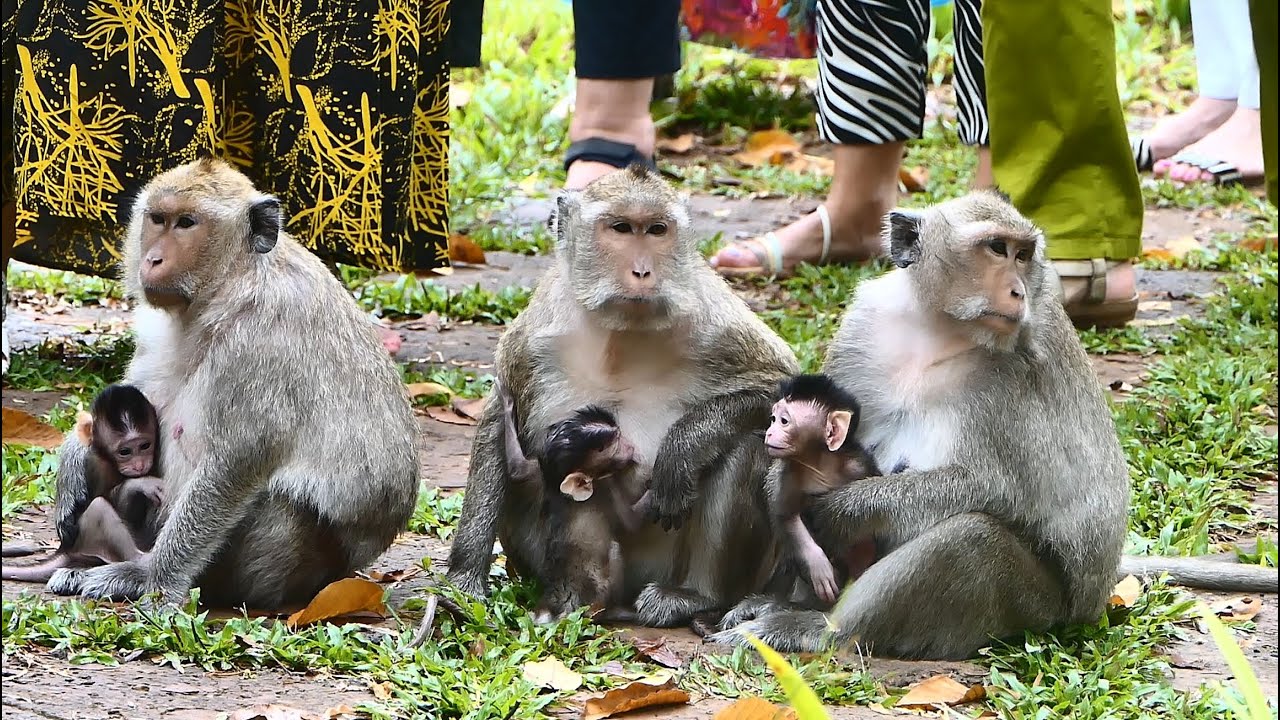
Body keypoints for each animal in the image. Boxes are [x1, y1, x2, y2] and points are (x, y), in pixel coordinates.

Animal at [3, 385, 167, 583]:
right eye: (125, 451)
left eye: (144, 446)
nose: (139, 465)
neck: (109, 460)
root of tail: (65, 549)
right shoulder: (95, 464)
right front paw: (141, 484)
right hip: (86, 543)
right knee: (99, 507)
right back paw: (140, 559)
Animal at [42, 158, 420, 609]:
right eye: (157, 219)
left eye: (187, 223)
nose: (152, 259)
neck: (229, 285)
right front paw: (72, 463)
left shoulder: (261, 341)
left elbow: (236, 462)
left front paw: (152, 579)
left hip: (284, 567)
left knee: (286, 500)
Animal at [446, 163, 800, 627]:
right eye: (620, 229)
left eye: (656, 230)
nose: (643, 271)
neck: (621, 332)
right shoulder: (532, 339)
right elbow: (499, 422)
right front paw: (464, 581)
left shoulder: (713, 316)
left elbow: (781, 387)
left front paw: (682, 450)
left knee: (747, 443)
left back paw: (692, 596)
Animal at [708, 190, 1279, 660]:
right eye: (996, 249)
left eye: (1024, 255)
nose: (1018, 292)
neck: (938, 328)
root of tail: (1094, 599)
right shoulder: (865, 325)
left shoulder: (1007, 375)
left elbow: (995, 488)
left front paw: (846, 509)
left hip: (1036, 604)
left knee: (971, 536)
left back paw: (818, 630)